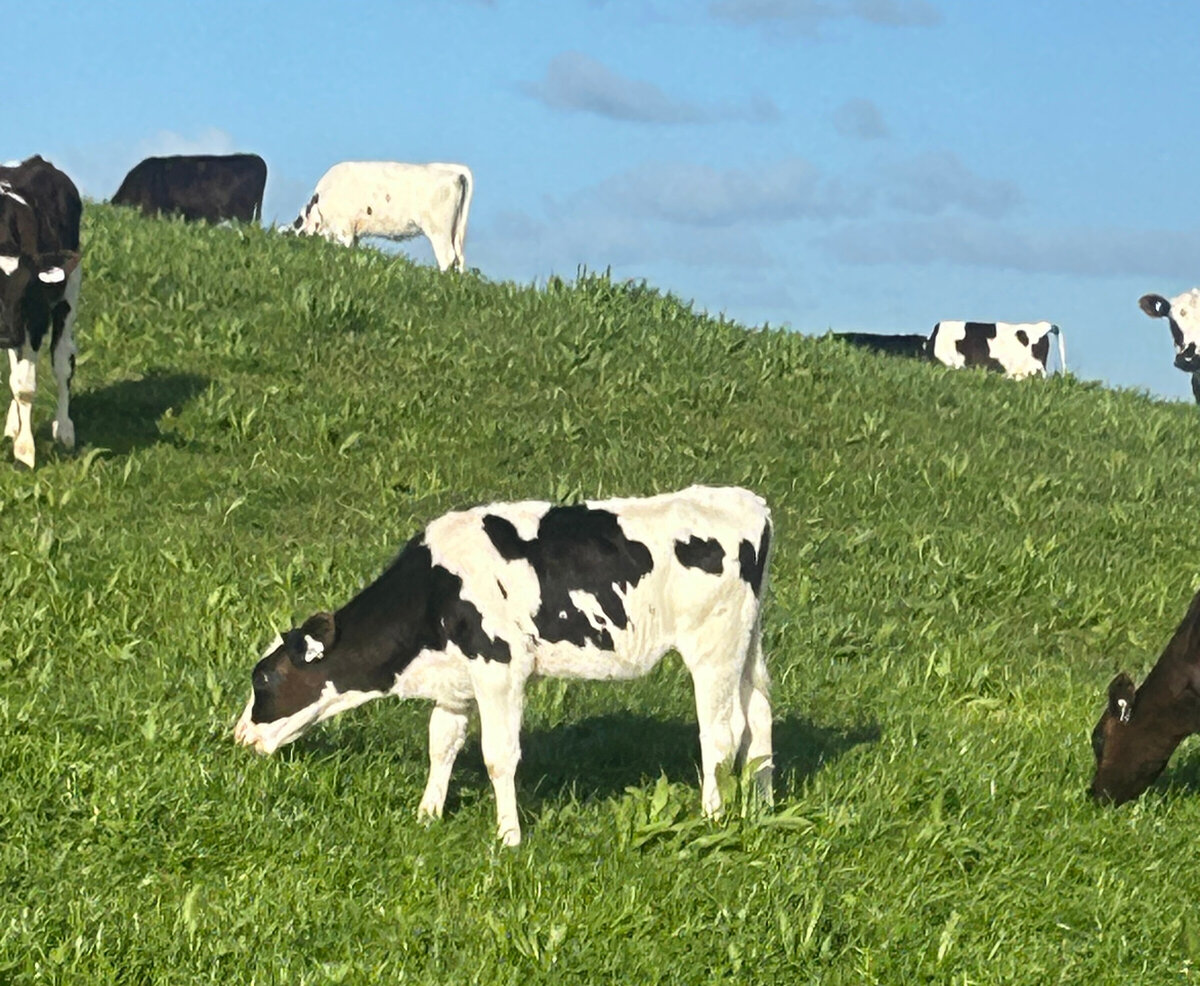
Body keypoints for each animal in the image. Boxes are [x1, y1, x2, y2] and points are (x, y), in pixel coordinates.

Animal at [1, 156, 82, 469]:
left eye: (24, 288)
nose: (4, 335)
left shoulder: (33, 314)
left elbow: (25, 385)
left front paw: (25, 453)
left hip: (68, 292)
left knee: (63, 362)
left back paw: (64, 429)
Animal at [234, 485, 774, 845]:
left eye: (264, 678)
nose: (238, 735)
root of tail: (746, 501)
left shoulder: (499, 666)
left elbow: (498, 755)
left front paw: (508, 836)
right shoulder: (457, 680)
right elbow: (441, 745)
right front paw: (428, 813)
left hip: (714, 645)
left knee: (720, 733)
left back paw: (713, 816)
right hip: (748, 643)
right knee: (761, 717)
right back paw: (762, 806)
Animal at [289, 161, 473, 272]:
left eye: (299, 222)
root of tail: (453, 172)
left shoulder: (343, 229)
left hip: (439, 230)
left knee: (447, 257)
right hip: (455, 230)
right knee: (459, 259)